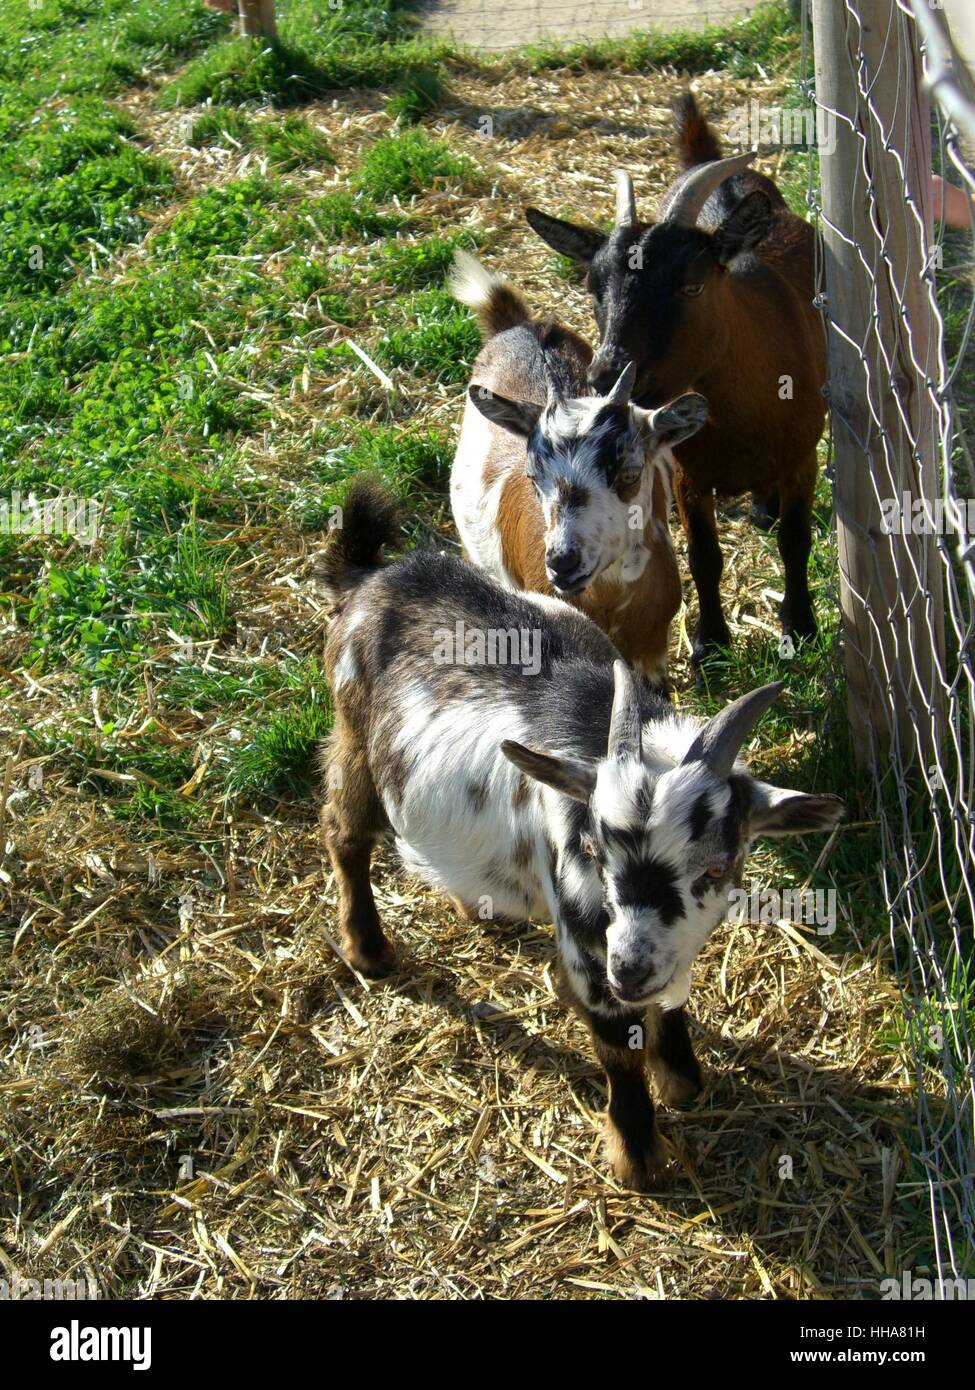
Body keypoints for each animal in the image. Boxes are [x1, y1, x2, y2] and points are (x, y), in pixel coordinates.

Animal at [319, 478, 845, 1189]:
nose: (629, 967)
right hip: (355, 738)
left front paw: (682, 1078)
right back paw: (367, 948)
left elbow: (669, 1003)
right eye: (595, 852)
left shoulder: (663, 945)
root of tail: (374, 576)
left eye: (715, 869)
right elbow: (616, 1044)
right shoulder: (590, 940)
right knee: (343, 833)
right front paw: (639, 1156)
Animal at [525, 93, 827, 664]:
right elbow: (704, 554)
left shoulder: (804, 459)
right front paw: (710, 639)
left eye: (692, 284)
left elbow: (795, 541)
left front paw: (800, 626)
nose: (606, 375)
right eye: (593, 287)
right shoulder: (688, 474)